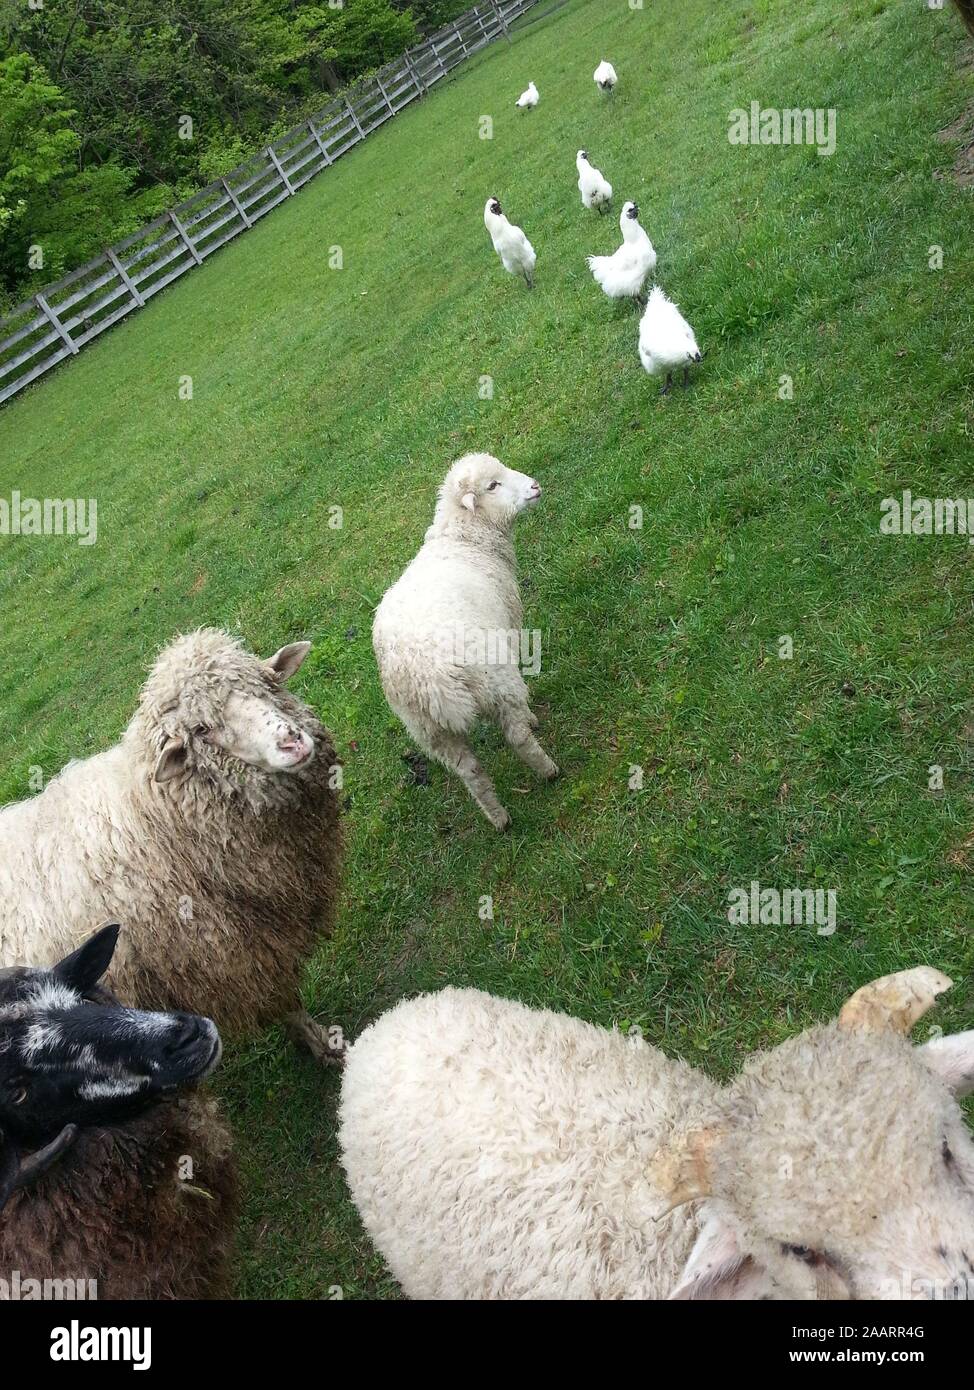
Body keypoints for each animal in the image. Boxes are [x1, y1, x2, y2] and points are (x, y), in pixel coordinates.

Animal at [0, 629, 343, 1061]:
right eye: (202, 730)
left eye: (265, 683)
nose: (291, 741)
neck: (154, 819)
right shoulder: (231, 956)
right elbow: (284, 1003)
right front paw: (321, 1045)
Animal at [372, 453, 558, 832]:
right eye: (493, 485)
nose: (535, 486)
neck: (464, 540)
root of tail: (432, 681)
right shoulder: (510, 627)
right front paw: (532, 718)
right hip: (496, 679)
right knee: (517, 737)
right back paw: (548, 769)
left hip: (430, 731)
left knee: (469, 772)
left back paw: (499, 818)